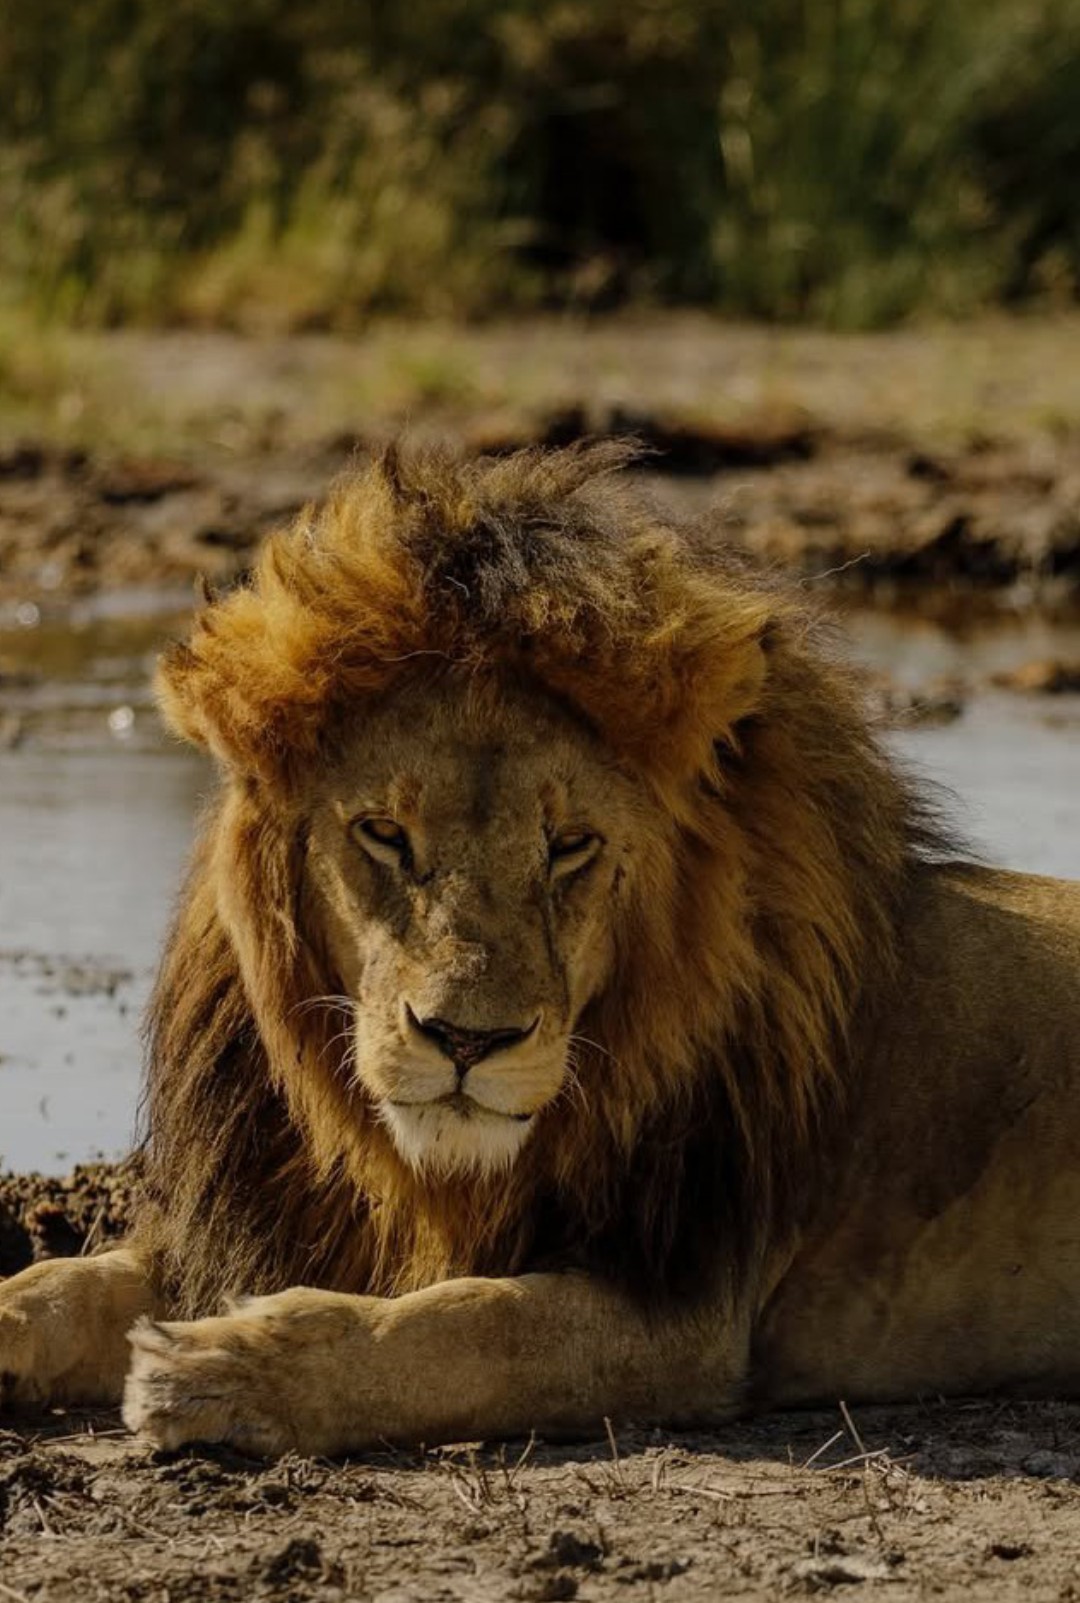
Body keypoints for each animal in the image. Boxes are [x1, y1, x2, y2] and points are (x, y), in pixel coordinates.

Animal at [1, 440, 1079, 1456]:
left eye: (569, 846)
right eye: (385, 835)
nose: (466, 1041)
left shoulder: (679, 1314)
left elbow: (448, 1326)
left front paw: (222, 1366)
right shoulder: (257, 1222)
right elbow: (64, 1282)